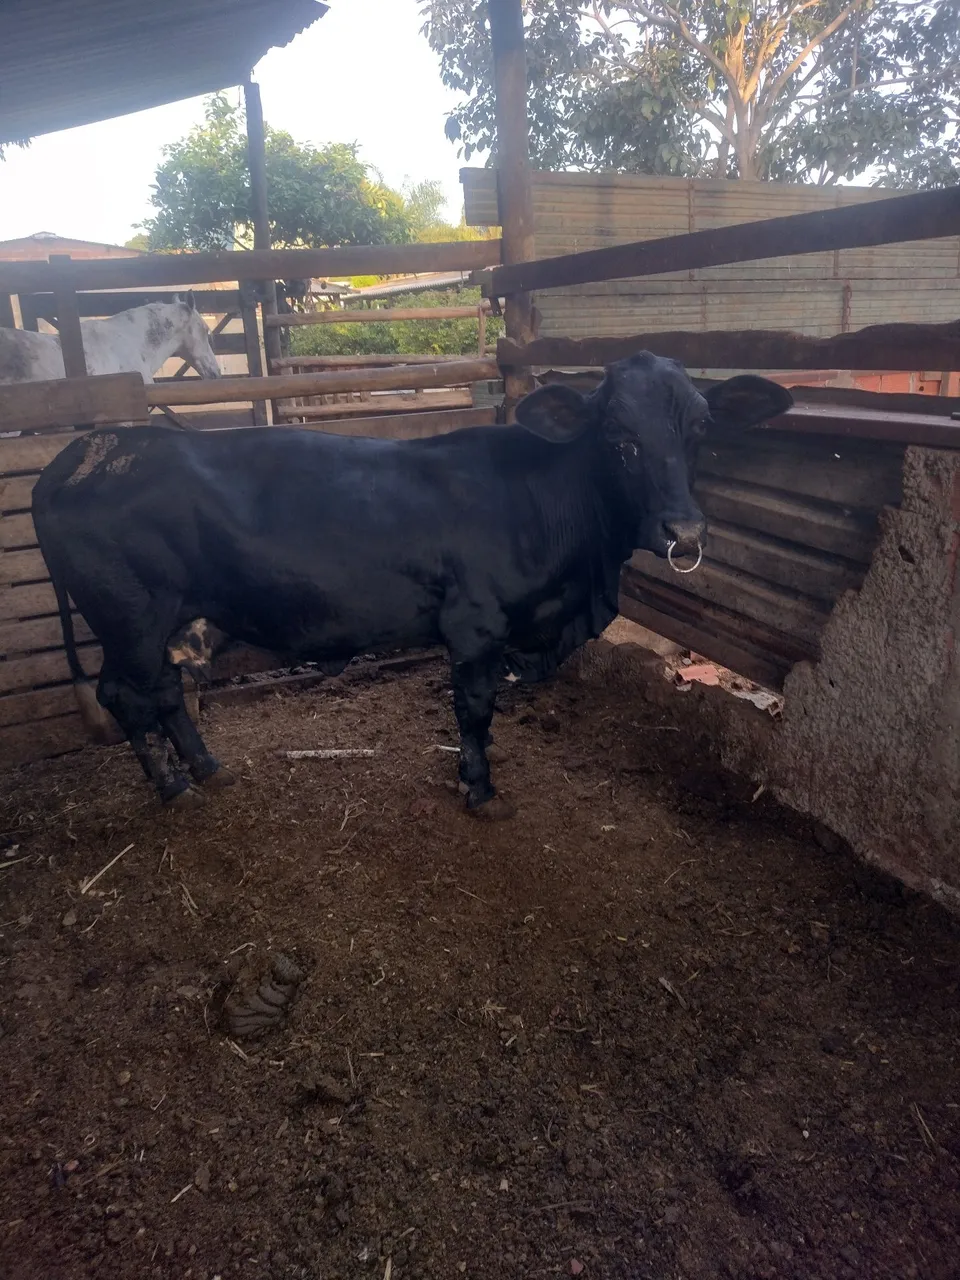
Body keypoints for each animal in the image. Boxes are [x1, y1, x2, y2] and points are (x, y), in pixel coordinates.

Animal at [32, 353, 792, 818]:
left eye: (699, 428)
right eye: (616, 433)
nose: (683, 531)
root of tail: (83, 453)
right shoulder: (475, 625)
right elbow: (474, 709)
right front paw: (480, 788)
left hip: (165, 617)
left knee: (163, 690)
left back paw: (206, 767)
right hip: (129, 615)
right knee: (125, 694)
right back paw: (172, 787)